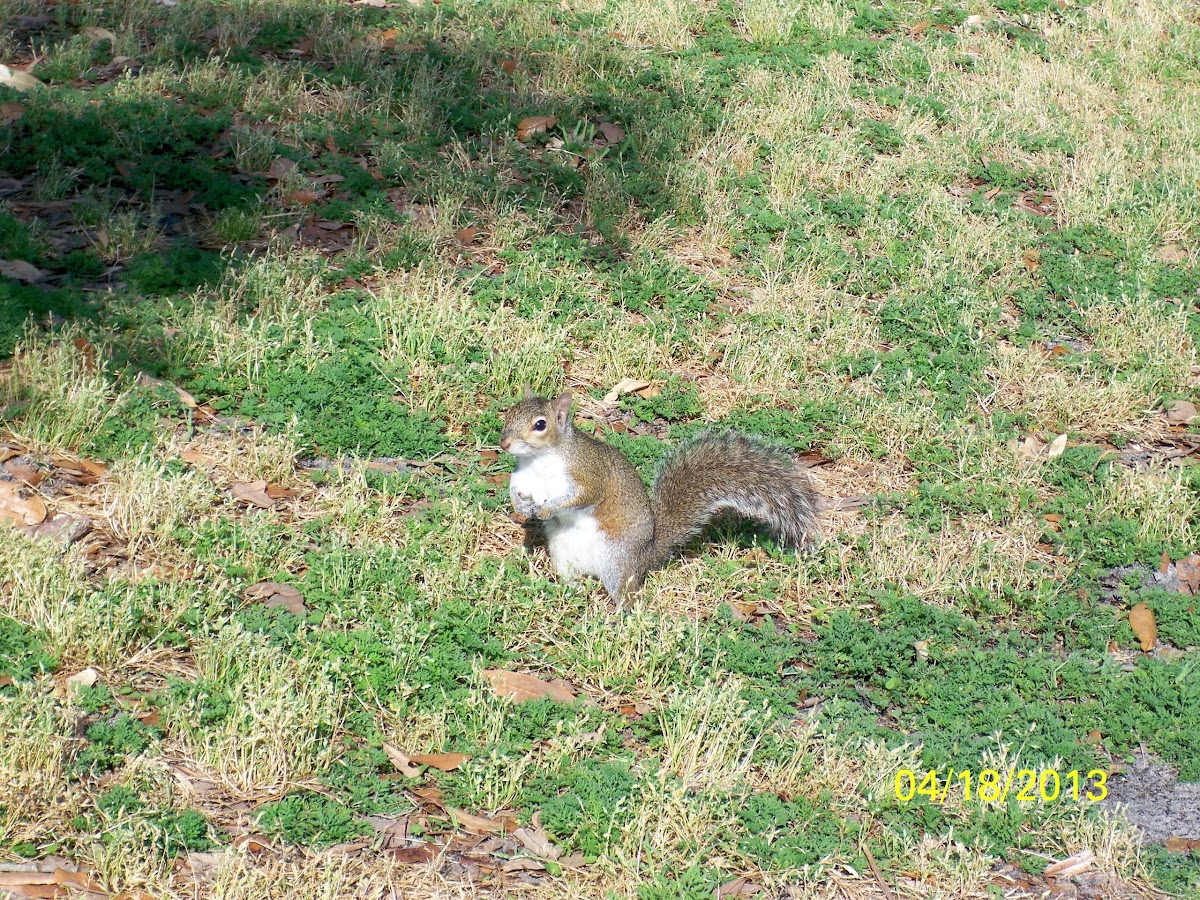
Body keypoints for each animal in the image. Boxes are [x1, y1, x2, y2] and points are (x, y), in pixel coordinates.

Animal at [499, 391, 819, 604]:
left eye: (540, 425)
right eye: (509, 413)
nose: (504, 444)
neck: (540, 460)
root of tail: (645, 556)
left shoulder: (588, 473)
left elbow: (584, 496)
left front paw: (546, 509)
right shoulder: (523, 477)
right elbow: (516, 490)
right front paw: (521, 506)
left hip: (617, 559)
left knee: (628, 595)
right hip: (563, 555)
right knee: (572, 577)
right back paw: (568, 590)